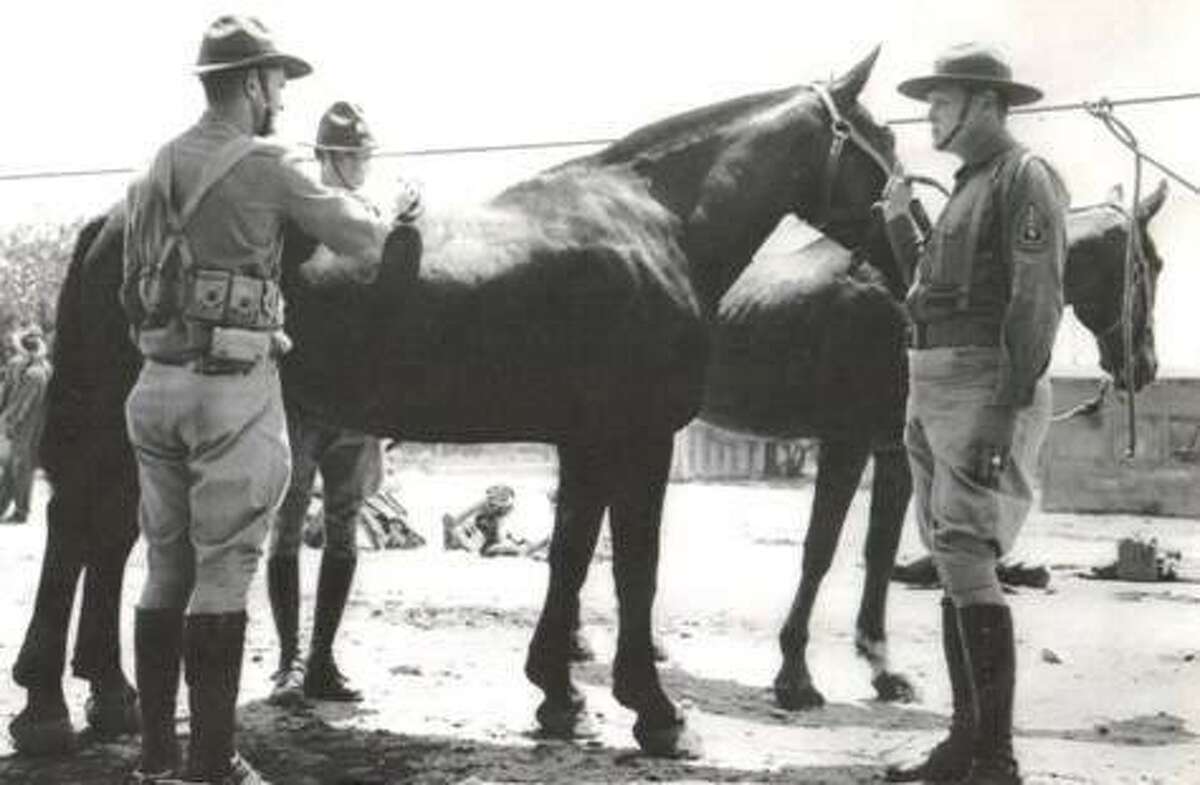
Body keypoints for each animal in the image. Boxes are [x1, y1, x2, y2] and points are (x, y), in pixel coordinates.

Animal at [10, 49, 901, 758]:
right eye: (883, 147)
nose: (911, 245)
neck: (656, 225)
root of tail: (114, 217)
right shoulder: (637, 439)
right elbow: (635, 569)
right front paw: (653, 710)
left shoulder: (586, 443)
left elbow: (572, 557)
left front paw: (559, 694)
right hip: (115, 425)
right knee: (78, 533)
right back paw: (49, 707)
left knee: (106, 538)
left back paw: (111, 697)